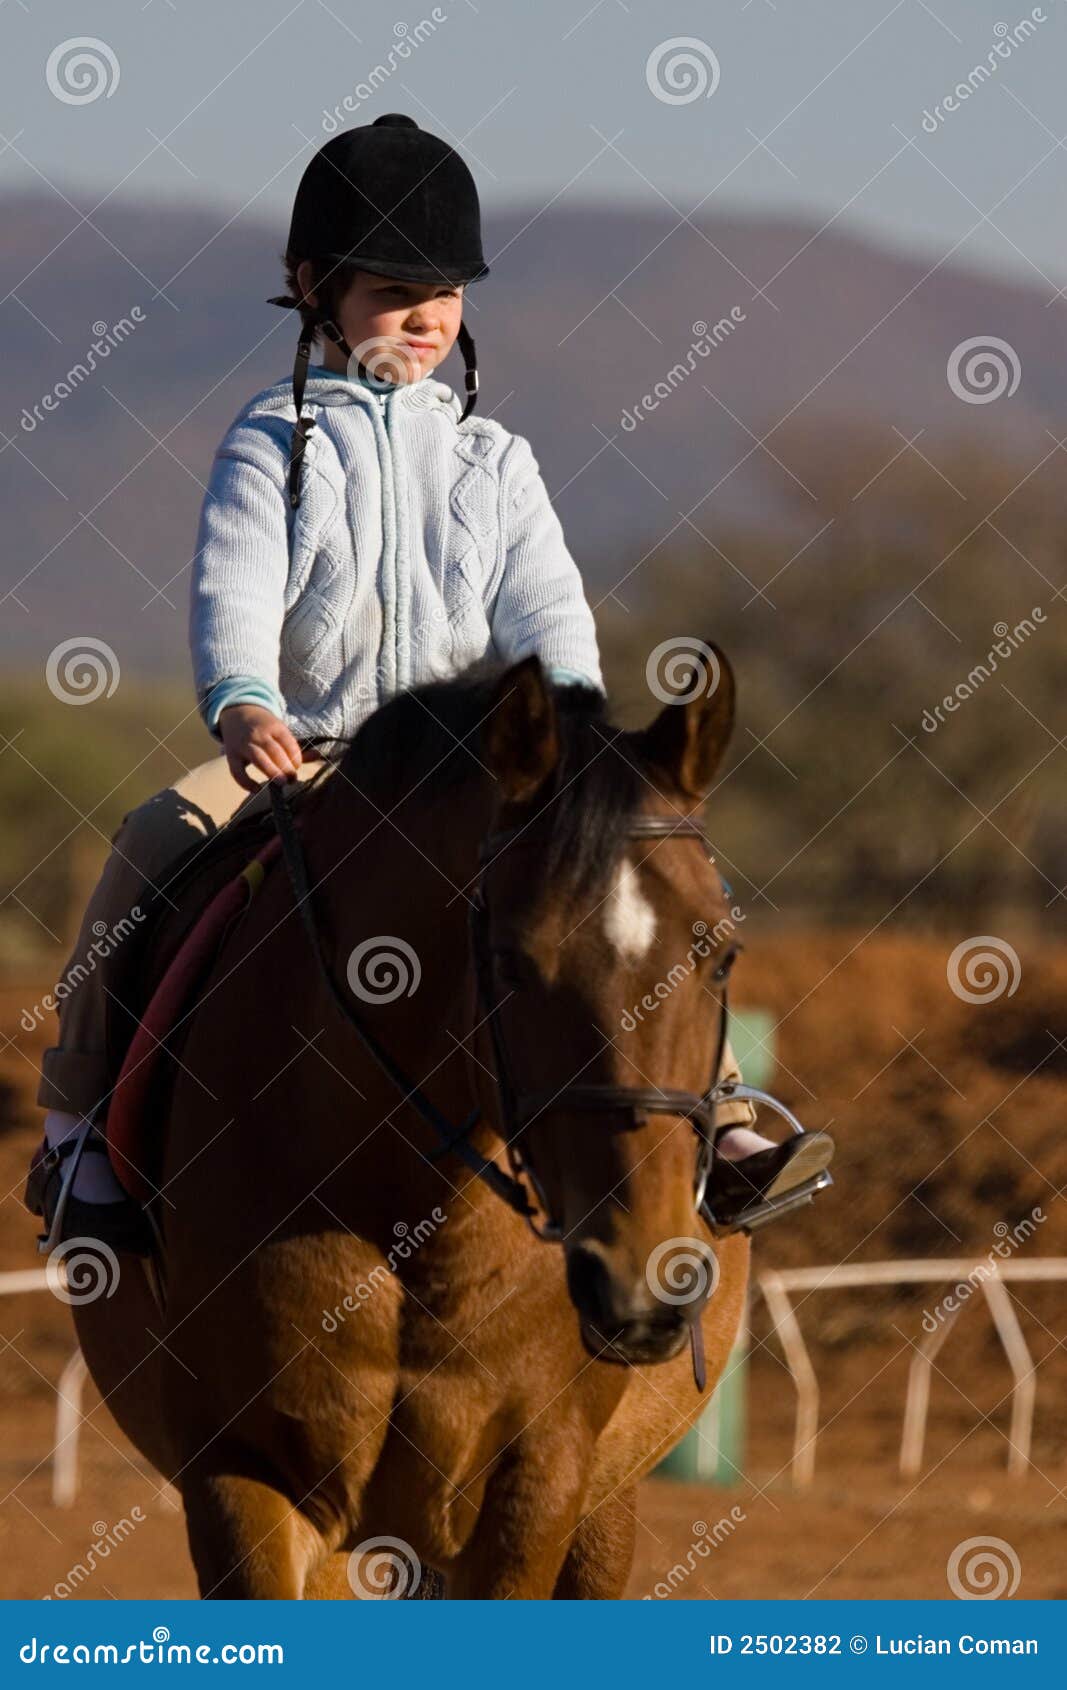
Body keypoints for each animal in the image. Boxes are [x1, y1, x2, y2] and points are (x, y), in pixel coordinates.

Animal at [71, 640, 751, 1599]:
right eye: (508, 962)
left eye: (720, 954)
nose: (641, 1282)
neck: (421, 1224)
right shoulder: (243, 1476)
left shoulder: (538, 1483)